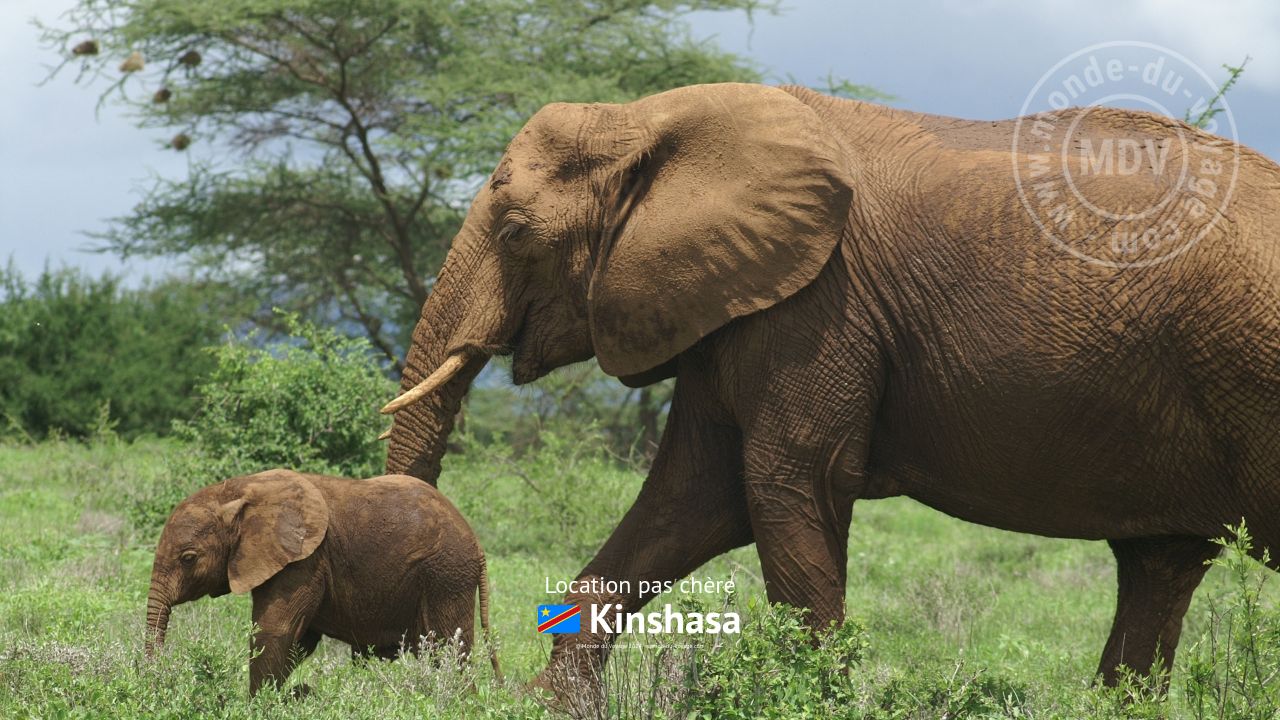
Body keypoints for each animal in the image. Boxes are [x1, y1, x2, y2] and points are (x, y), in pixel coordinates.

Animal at [144, 468, 494, 691]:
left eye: (188, 558)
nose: (155, 680)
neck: (238, 490)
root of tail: (477, 545)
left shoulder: (304, 560)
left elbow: (274, 631)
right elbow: (299, 641)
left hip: (446, 575)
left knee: (449, 650)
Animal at [378, 82, 1280, 691]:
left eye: (515, 233)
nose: (465, 678)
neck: (648, 117)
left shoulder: (819, 306)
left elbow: (786, 486)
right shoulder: (737, 302)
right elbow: (694, 501)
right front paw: (552, 702)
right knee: (1160, 566)